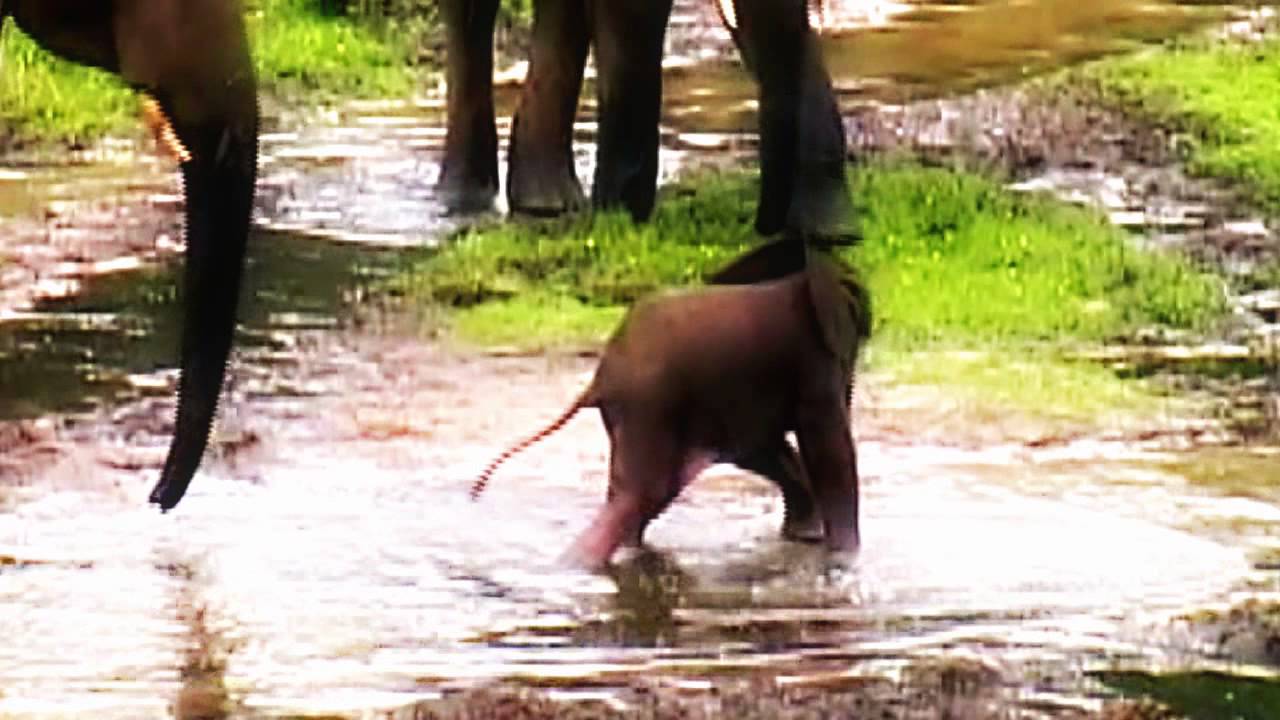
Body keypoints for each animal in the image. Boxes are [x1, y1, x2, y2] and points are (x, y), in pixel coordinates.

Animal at [472, 239, 870, 568]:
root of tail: (599, 379)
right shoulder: (814, 362)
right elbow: (827, 450)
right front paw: (843, 559)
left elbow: (760, 447)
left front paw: (808, 540)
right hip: (648, 405)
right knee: (639, 495)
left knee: (644, 495)